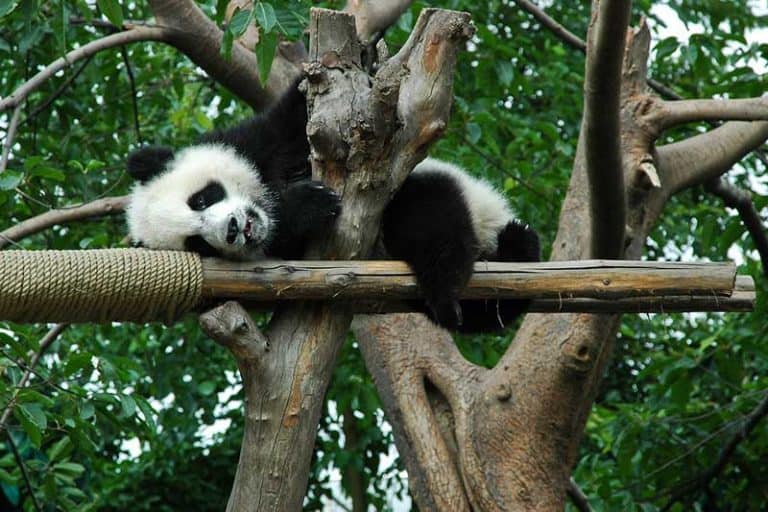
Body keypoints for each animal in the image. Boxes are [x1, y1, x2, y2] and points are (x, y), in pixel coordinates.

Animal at [126, 80, 540, 333]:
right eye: (198, 244)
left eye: (202, 199)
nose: (233, 228)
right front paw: (304, 206)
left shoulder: (254, 143)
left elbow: (295, 118)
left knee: (428, 218)